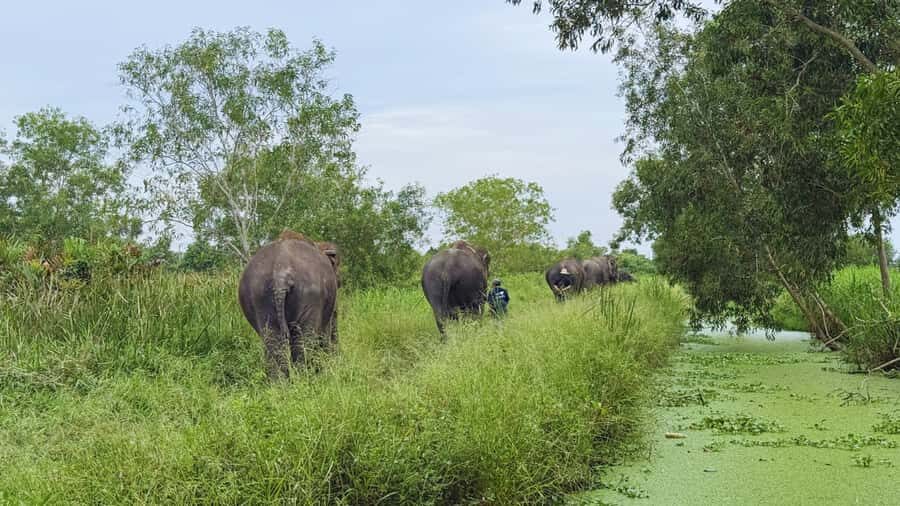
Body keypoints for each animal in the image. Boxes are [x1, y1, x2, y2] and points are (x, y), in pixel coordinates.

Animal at [238, 230, 340, 380]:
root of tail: (280, 276)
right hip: (311, 295)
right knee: (303, 340)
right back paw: (304, 379)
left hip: (258, 295)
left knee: (272, 341)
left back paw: (281, 383)